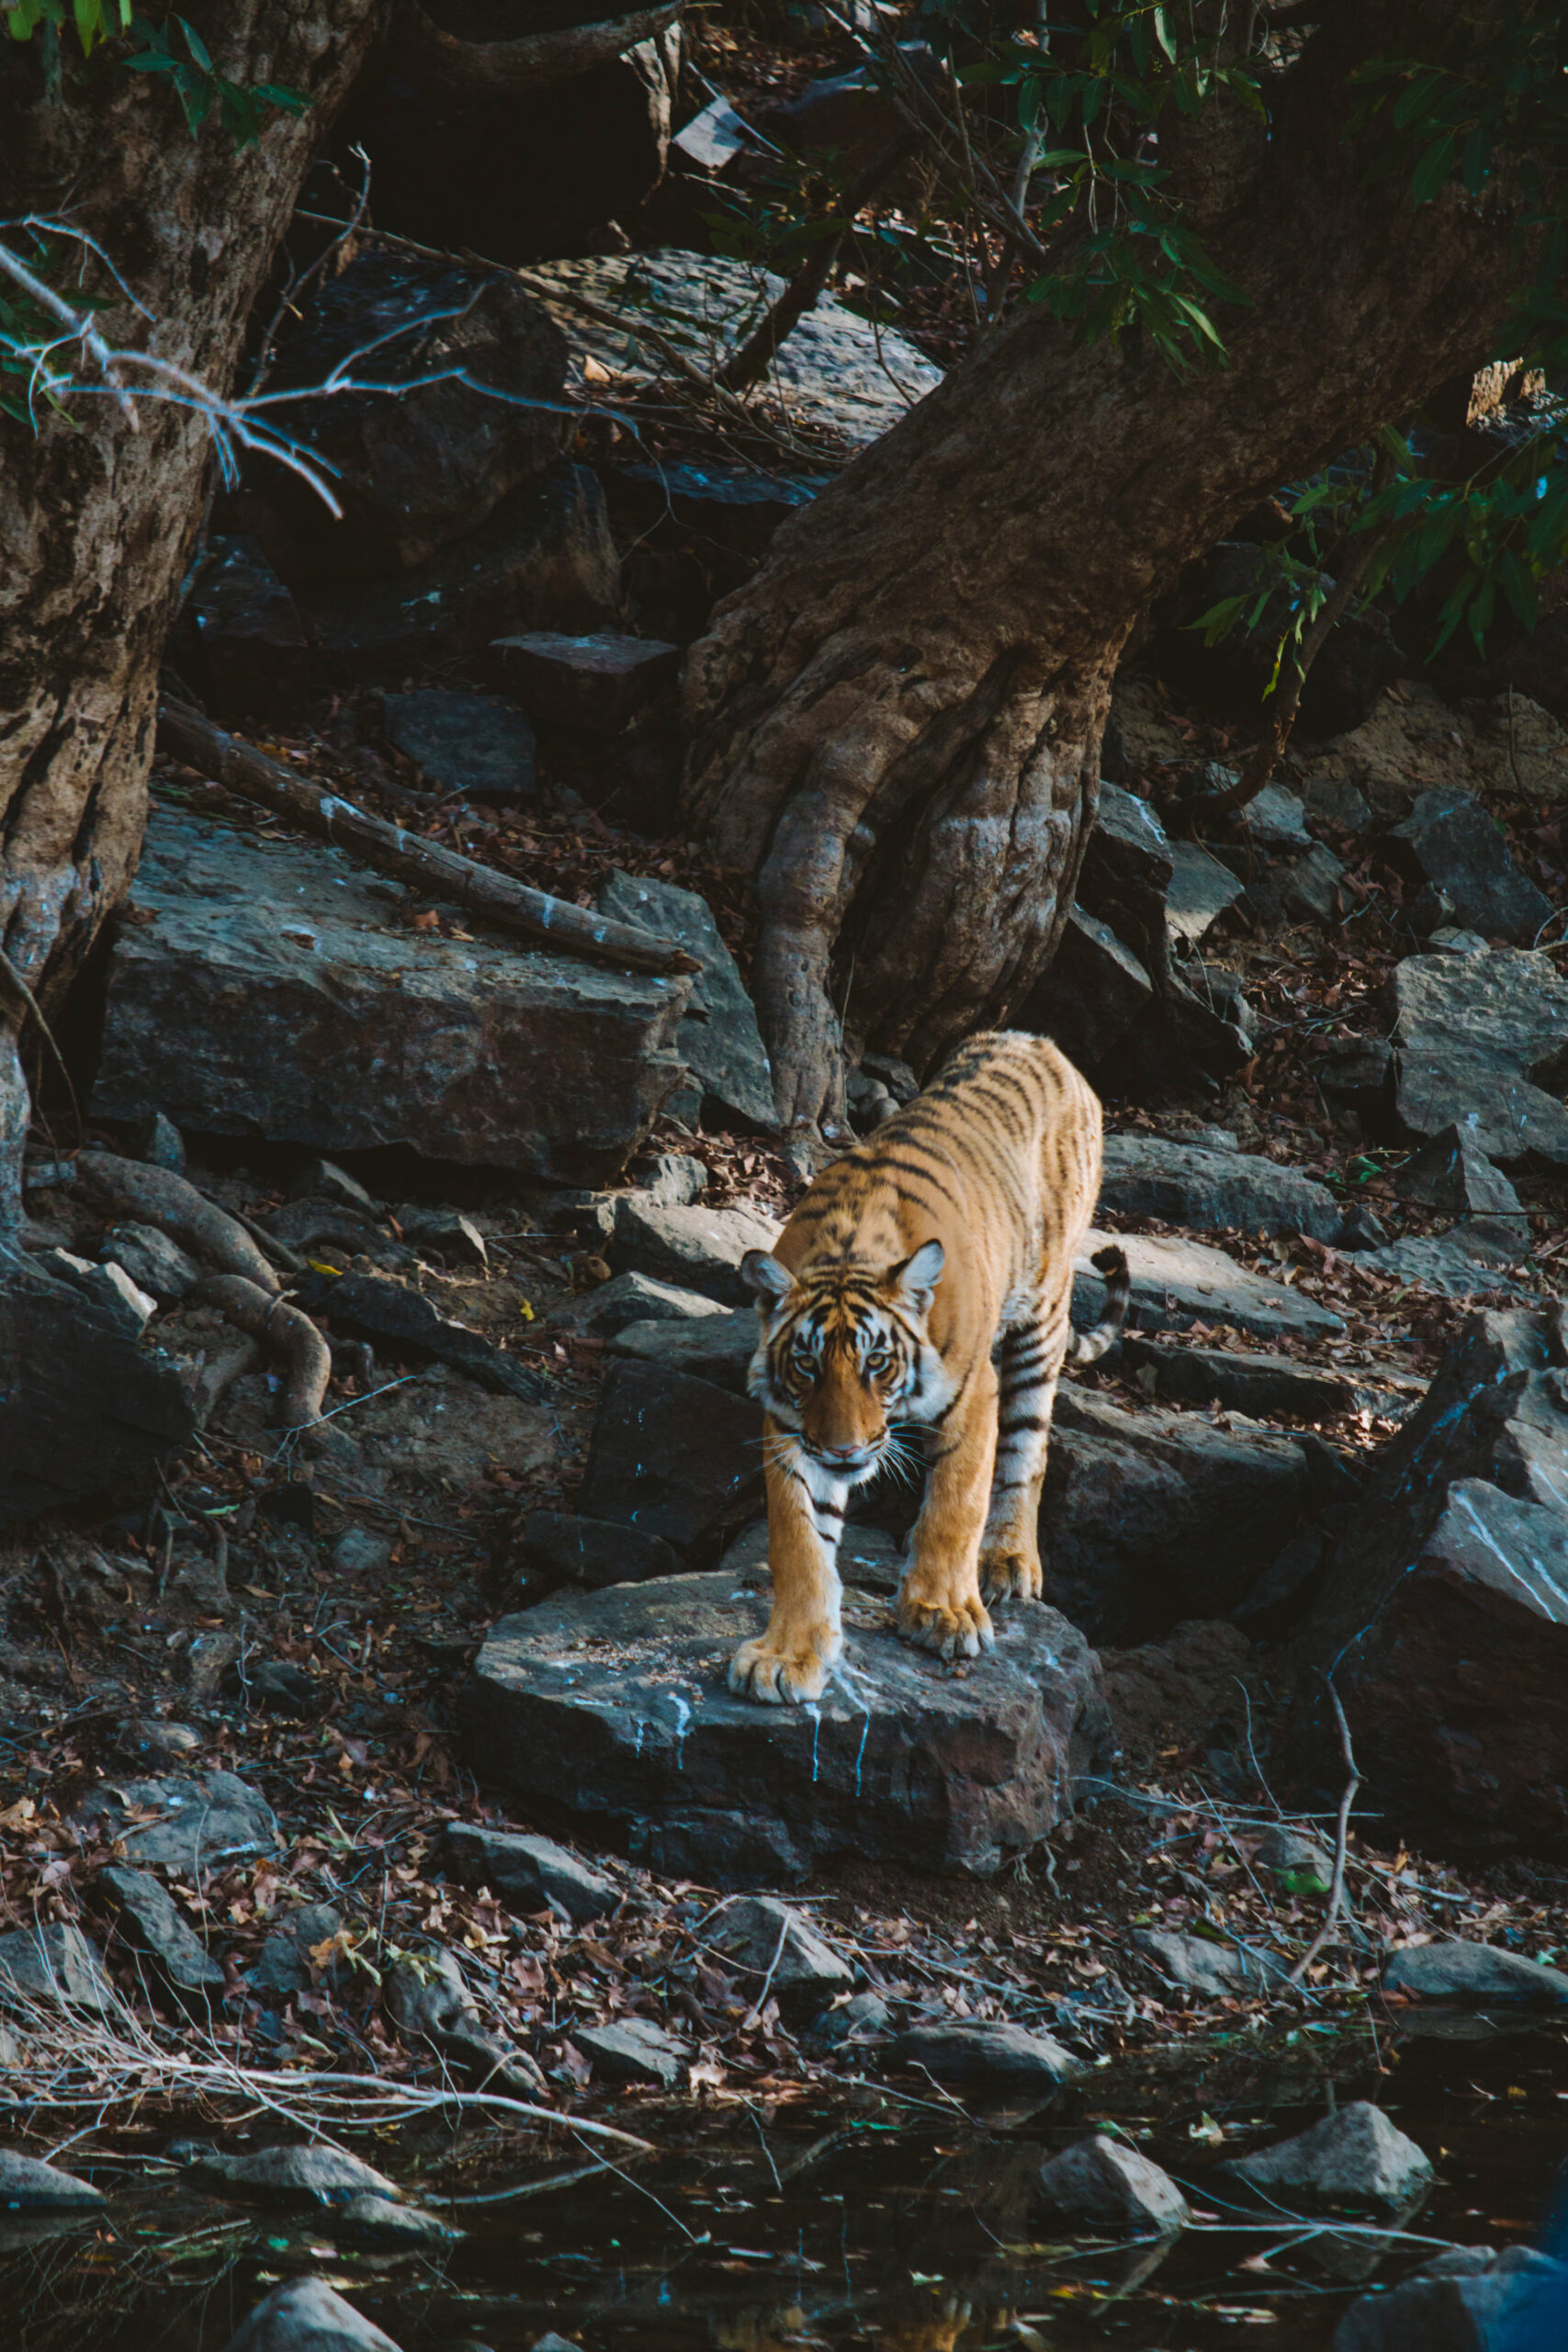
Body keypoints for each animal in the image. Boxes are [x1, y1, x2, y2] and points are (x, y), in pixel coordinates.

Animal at [731, 1029, 1129, 1706]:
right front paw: (787, 1655)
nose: (843, 1452)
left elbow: (956, 1503)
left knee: (1029, 1448)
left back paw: (1008, 1562)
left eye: (877, 1362)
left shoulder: (973, 1392)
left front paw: (943, 1614)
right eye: (807, 1365)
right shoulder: (790, 1428)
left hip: (1042, 1313)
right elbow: (799, 1542)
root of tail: (1040, 1040)